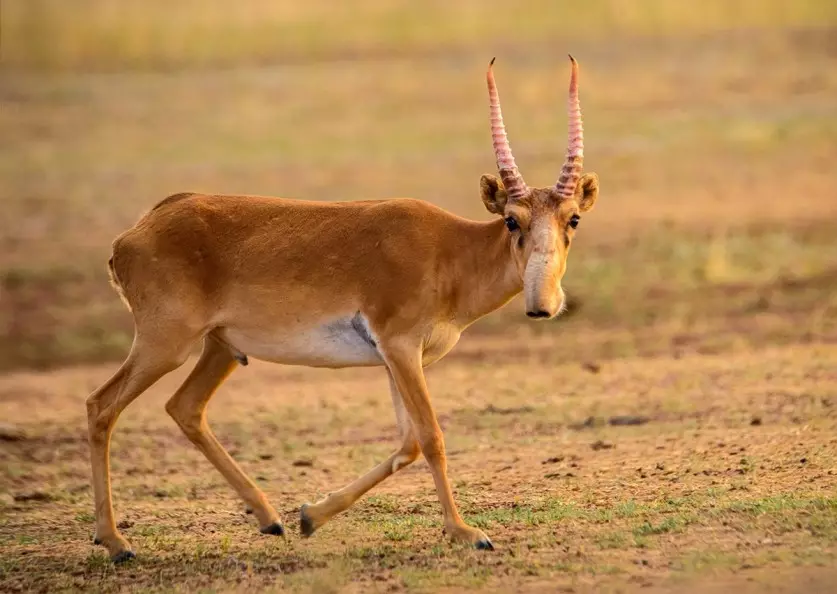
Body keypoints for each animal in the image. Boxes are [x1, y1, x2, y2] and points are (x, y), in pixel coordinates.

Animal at [85, 55, 596, 560]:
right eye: (512, 220)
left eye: (572, 219)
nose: (542, 306)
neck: (451, 249)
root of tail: (134, 232)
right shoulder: (400, 348)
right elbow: (431, 437)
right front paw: (468, 532)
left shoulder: (397, 360)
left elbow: (408, 443)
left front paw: (311, 516)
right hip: (165, 345)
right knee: (101, 406)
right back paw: (116, 542)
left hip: (220, 349)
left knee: (185, 407)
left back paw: (271, 519)